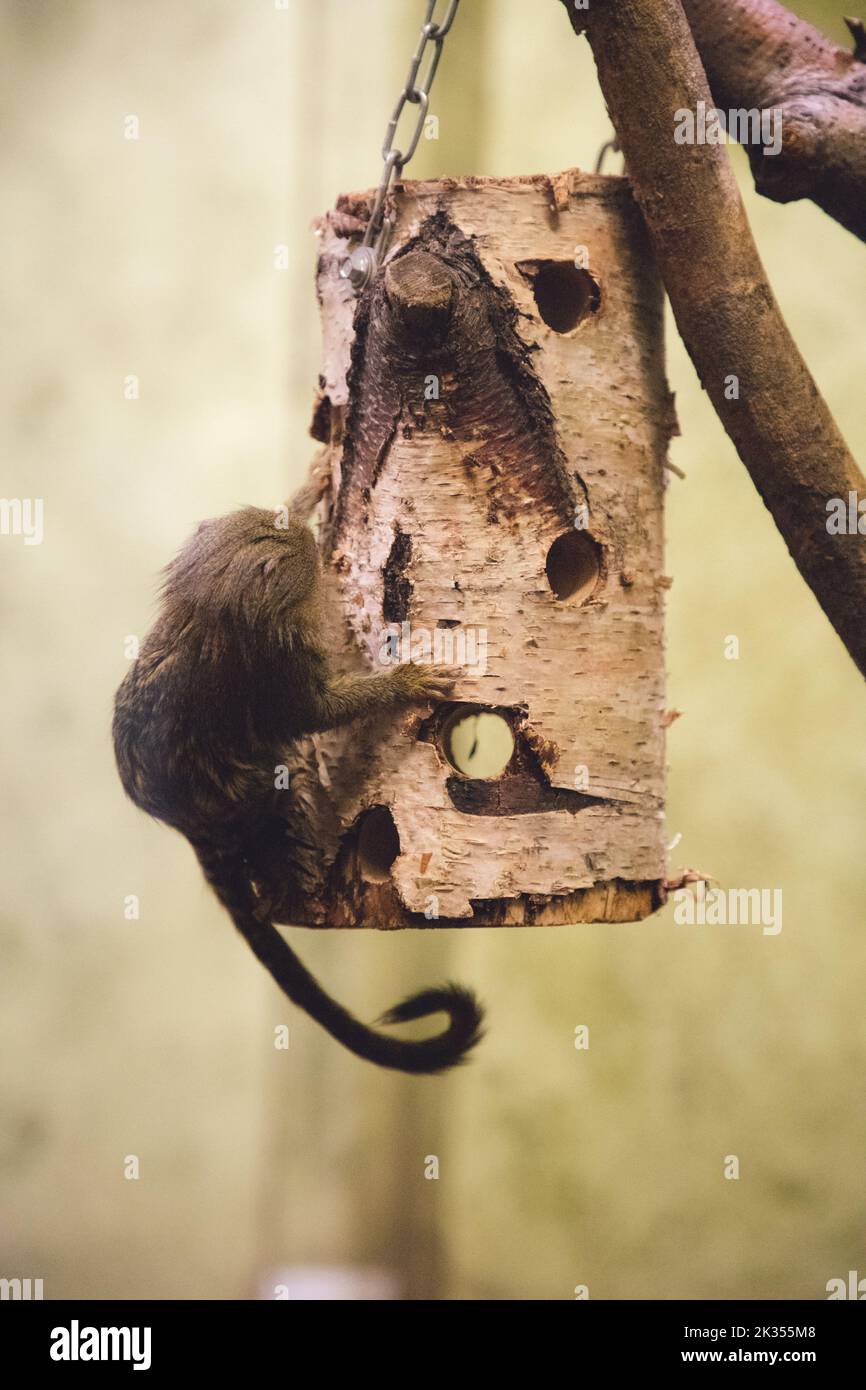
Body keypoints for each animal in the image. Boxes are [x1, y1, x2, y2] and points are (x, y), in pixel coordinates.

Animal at [112, 504, 484, 1073]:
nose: (306, 530)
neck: (213, 616)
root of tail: (192, 826)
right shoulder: (276, 665)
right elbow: (318, 713)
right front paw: (406, 684)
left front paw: (313, 488)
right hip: (244, 793)